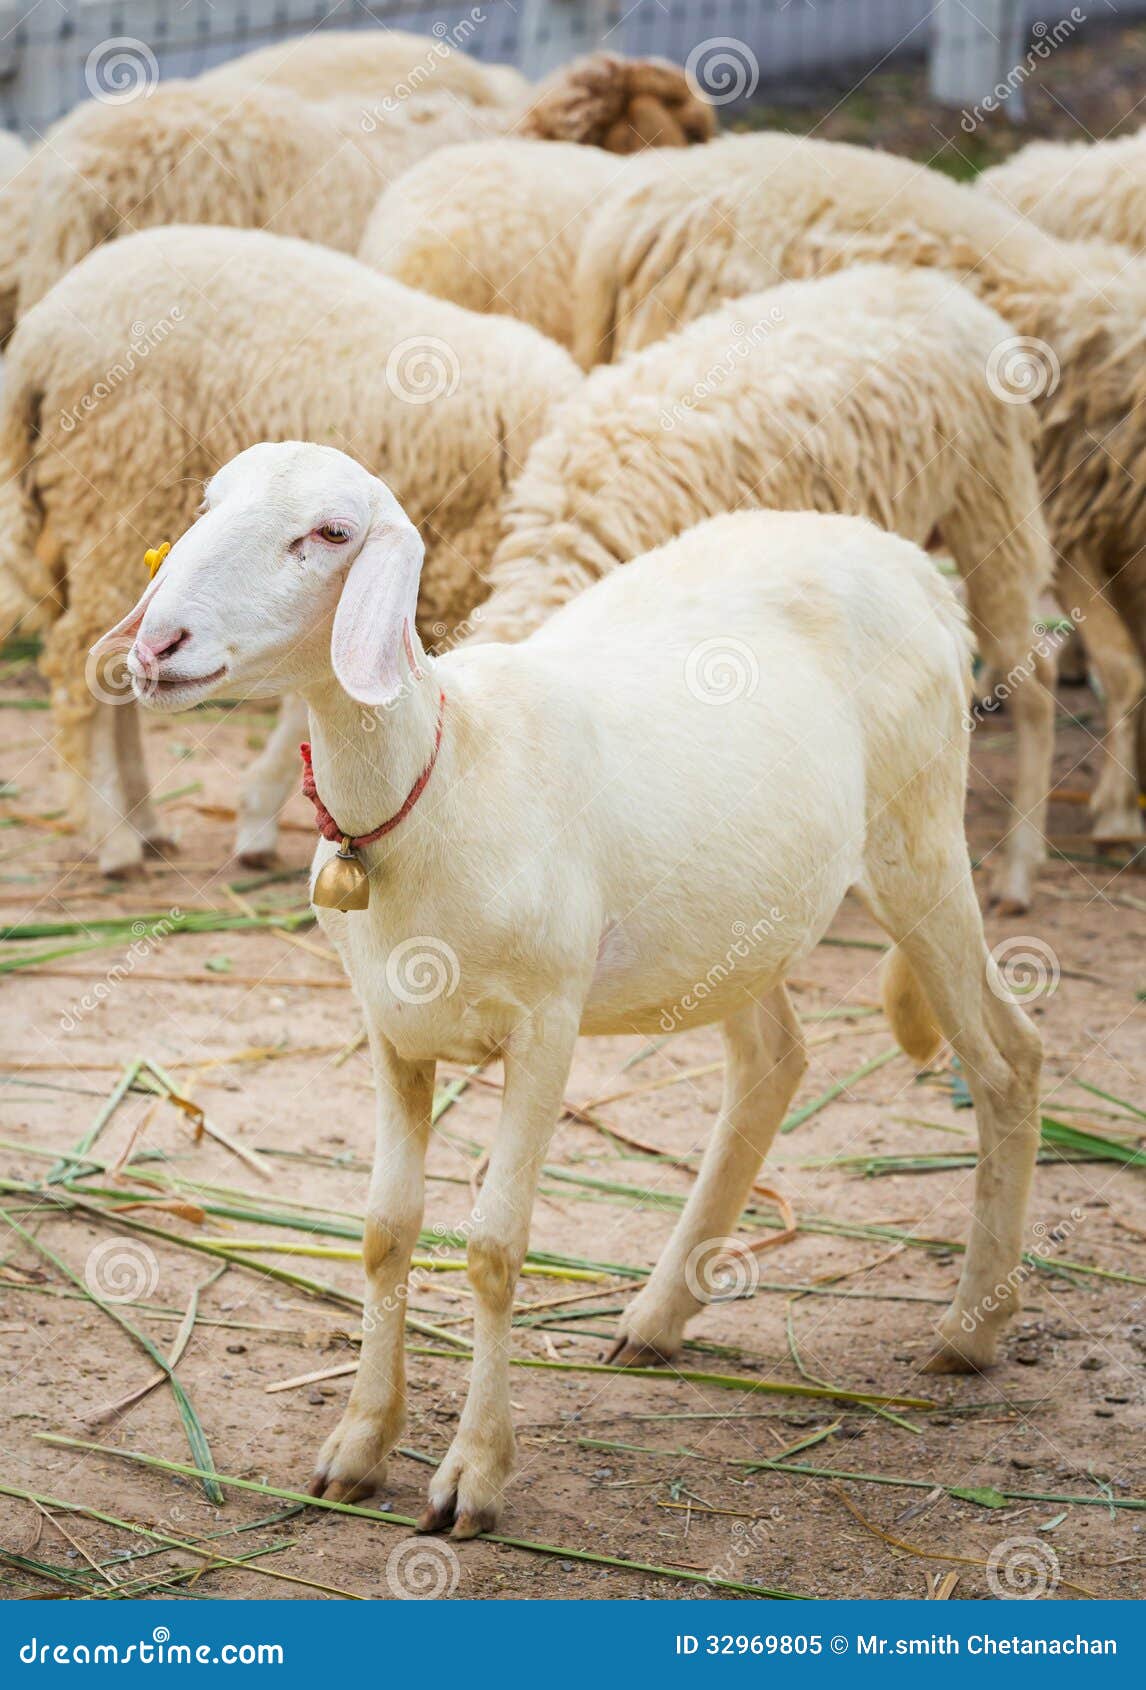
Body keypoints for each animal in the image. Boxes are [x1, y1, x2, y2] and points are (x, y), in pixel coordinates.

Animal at [0, 224, 581, 875]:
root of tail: (35, 339)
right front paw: (258, 819)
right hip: (117, 489)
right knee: (80, 668)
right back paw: (113, 839)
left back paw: (144, 823)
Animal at [94, 439, 1043, 1529]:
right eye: (205, 504)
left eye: (330, 534)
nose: (157, 644)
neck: (446, 775)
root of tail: (907, 561)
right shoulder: (390, 1028)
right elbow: (383, 1233)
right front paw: (359, 1445)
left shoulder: (545, 1024)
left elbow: (494, 1250)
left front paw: (473, 1473)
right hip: (734, 918)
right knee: (775, 1061)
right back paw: (660, 1315)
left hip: (917, 835)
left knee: (1006, 1057)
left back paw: (970, 1328)